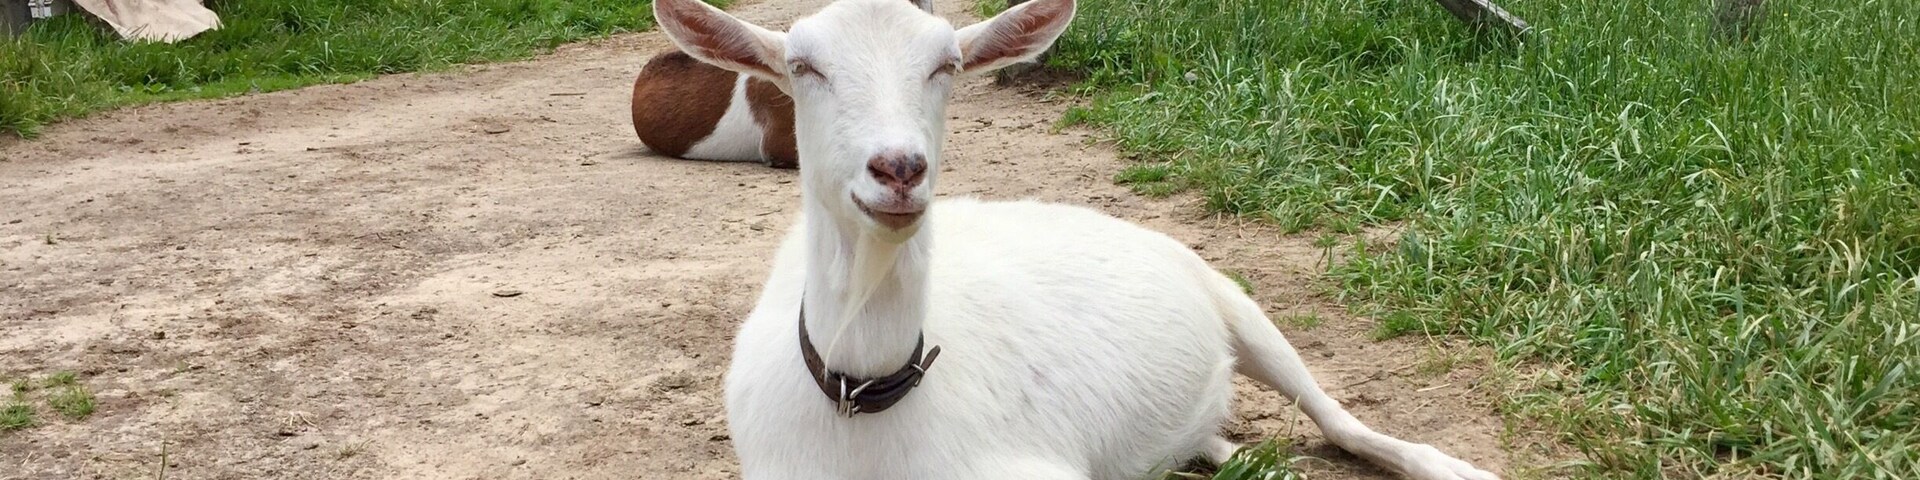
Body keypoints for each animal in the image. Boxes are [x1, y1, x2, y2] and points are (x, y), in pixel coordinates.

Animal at [651, 0, 1502, 478]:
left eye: (948, 64)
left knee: (1339, 420)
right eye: (801, 66)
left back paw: (1453, 468)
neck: (866, 404)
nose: (899, 168)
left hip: (1237, 301)